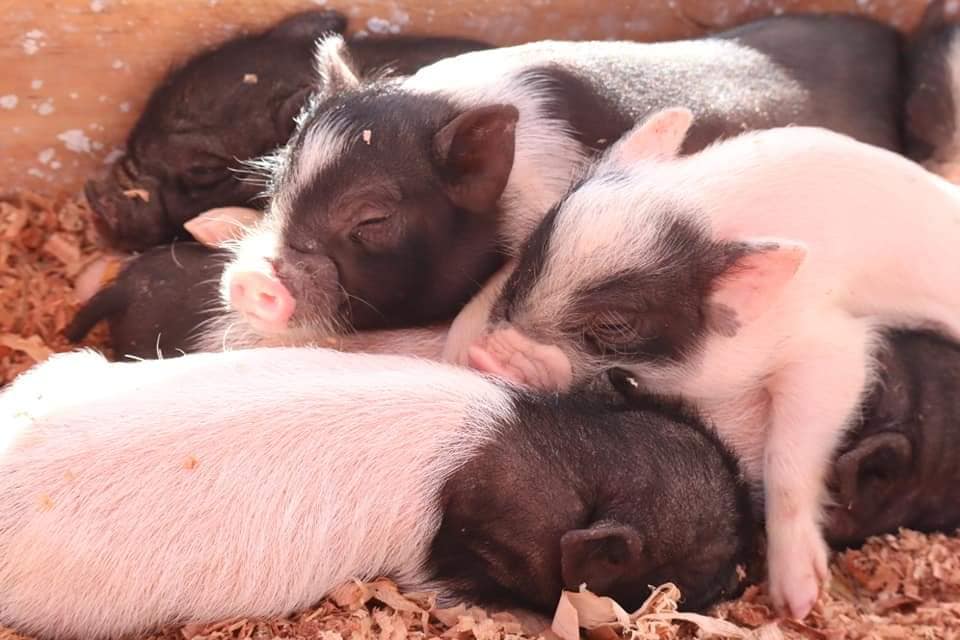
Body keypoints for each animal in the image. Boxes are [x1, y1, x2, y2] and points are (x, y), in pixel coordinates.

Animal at [464, 108, 960, 619]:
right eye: (526, 266)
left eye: (617, 324)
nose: (485, 354)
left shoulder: (830, 349)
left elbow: (789, 456)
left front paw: (796, 601)